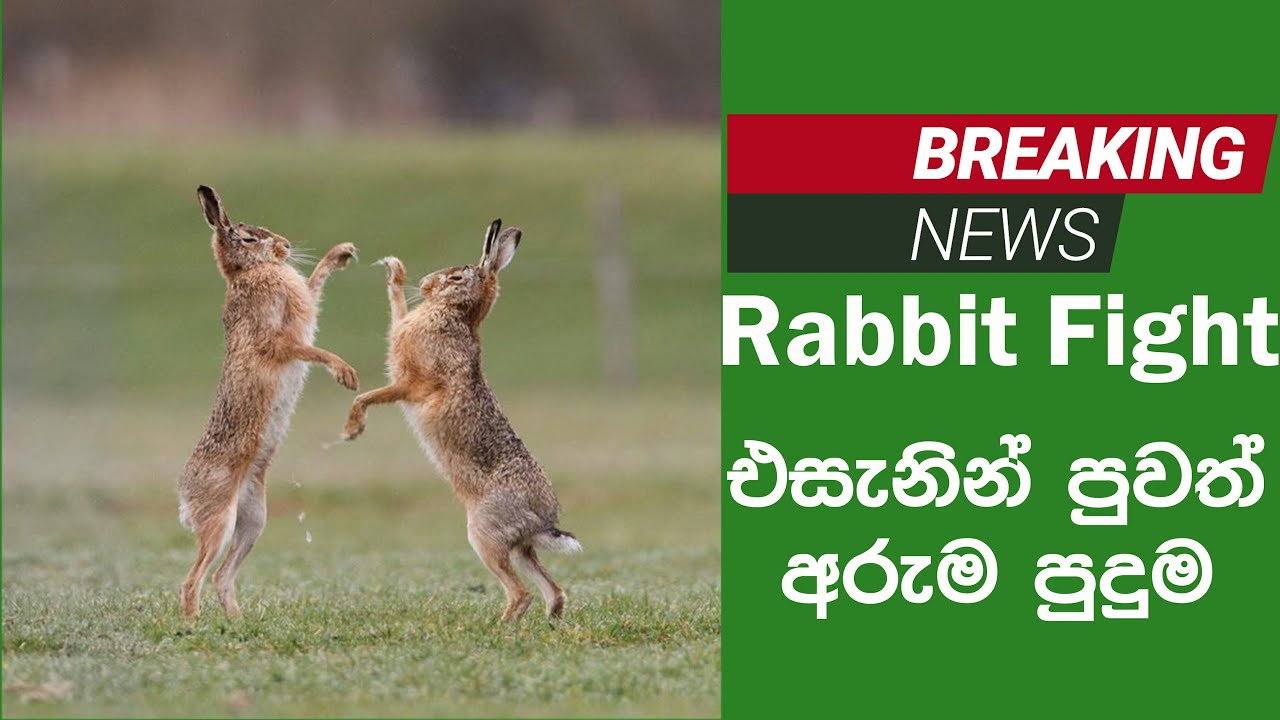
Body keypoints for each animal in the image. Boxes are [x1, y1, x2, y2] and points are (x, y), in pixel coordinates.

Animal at [177, 185, 360, 618]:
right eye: (248, 239)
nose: (285, 245)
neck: (250, 272)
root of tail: (183, 495)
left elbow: (315, 282)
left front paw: (342, 253)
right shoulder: (275, 339)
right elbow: (307, 349)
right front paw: (345, 373)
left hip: (254, 520)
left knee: (220, 577)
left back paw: (237, 621)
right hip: (219, 521)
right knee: (192, 580)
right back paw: (193, 622)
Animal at [339, 219, 580, 621]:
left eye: (454, 278)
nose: (425, 284)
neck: (456, 314)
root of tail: (543, 521)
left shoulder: (411, 384)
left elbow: (369, 395)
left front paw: (352, 429)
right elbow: (398, 309)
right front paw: (394, 270)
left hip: (484, 535)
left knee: (520, 593)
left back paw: (499, 626)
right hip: (520, 548)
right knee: (553, 590)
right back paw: (550, 621)